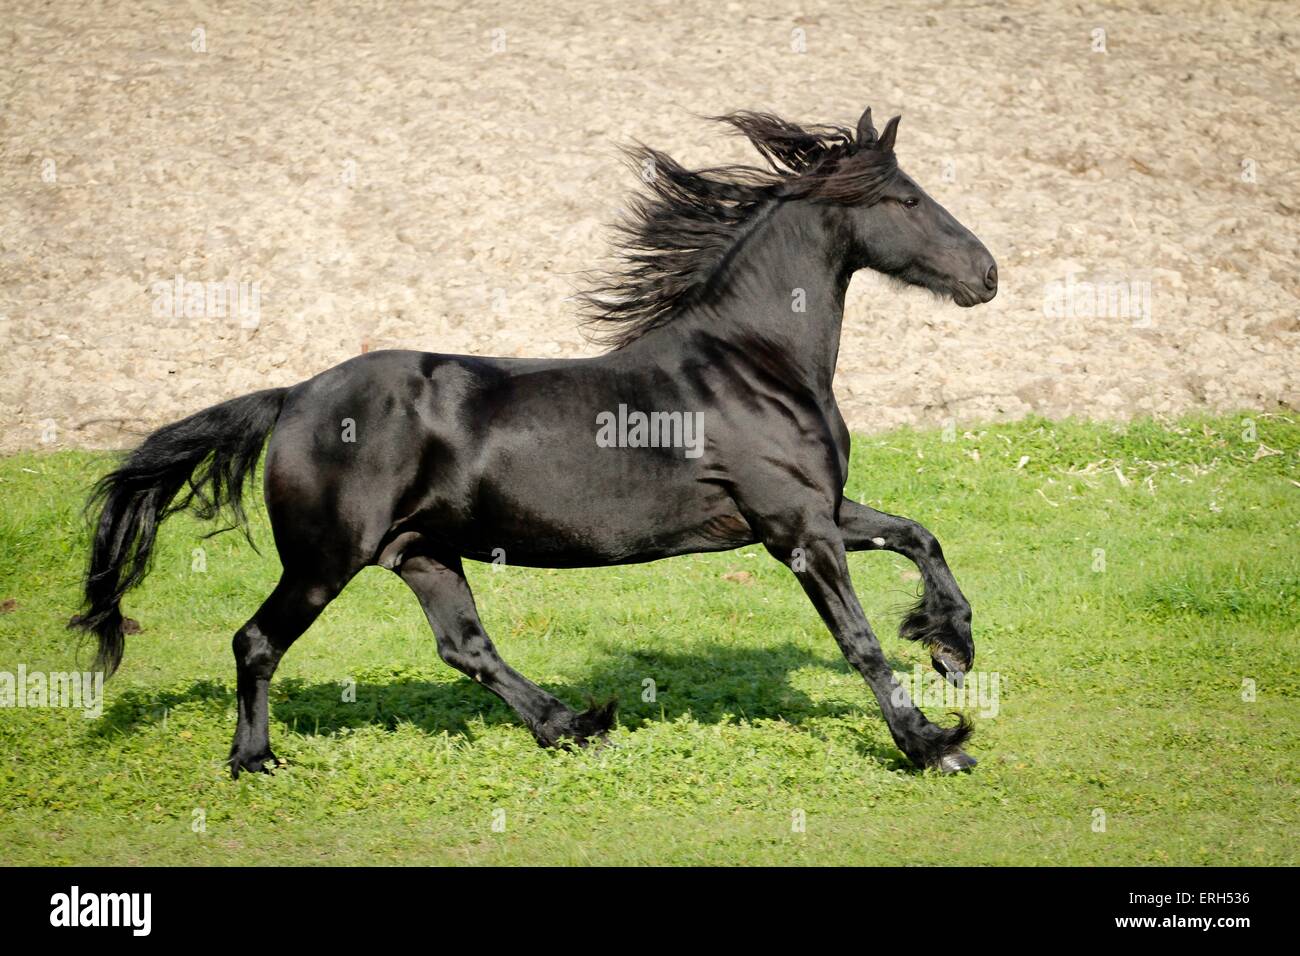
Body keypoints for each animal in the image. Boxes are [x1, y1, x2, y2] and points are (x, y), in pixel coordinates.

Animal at [74, 105, 997, 777]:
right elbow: (861, 641)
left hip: (421, 550)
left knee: (465, 646)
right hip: (326, 558)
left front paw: (951, 646)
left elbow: (920, 534)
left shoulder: (817, 509)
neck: (750, 363)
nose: (988, 274)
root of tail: (294, 397)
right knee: (258, 641)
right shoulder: (795, 529)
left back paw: (574, 724)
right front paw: (934, 745)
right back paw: (255, 760)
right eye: (906, 201)